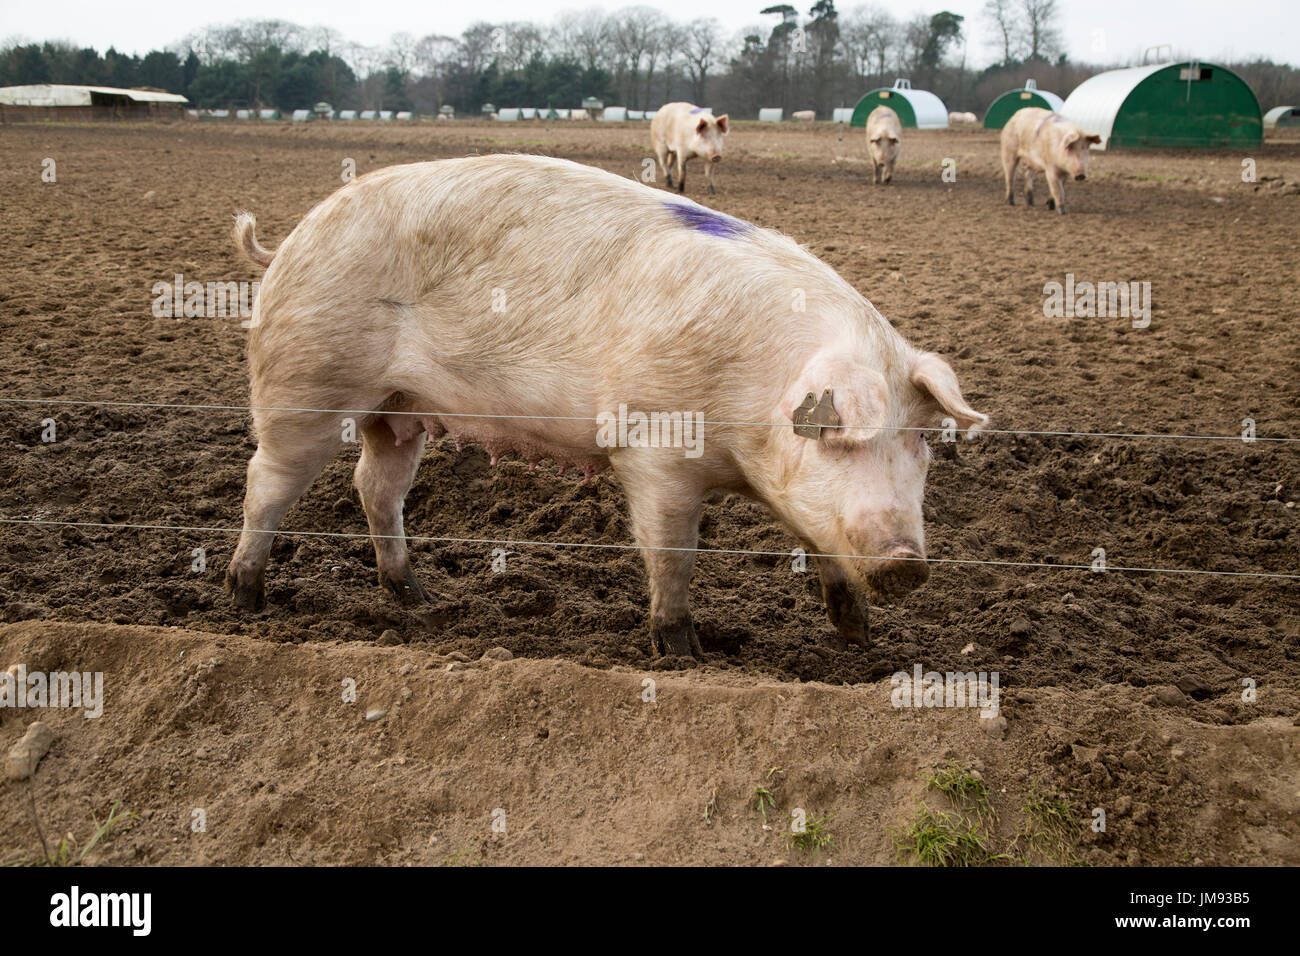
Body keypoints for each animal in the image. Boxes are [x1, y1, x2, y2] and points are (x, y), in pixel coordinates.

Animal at [226, 155, 988, 658]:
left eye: (919, 441)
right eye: (836, 436)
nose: (906, 561)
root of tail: (290, 239)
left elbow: (825, 549)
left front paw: (860, 644)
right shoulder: (653, 447)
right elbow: (673, 552)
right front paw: (684, 653)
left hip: (397, 410)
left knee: (374, 485)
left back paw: (417, 598)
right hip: (305, 381)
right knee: (265, 481)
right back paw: (246, 600)